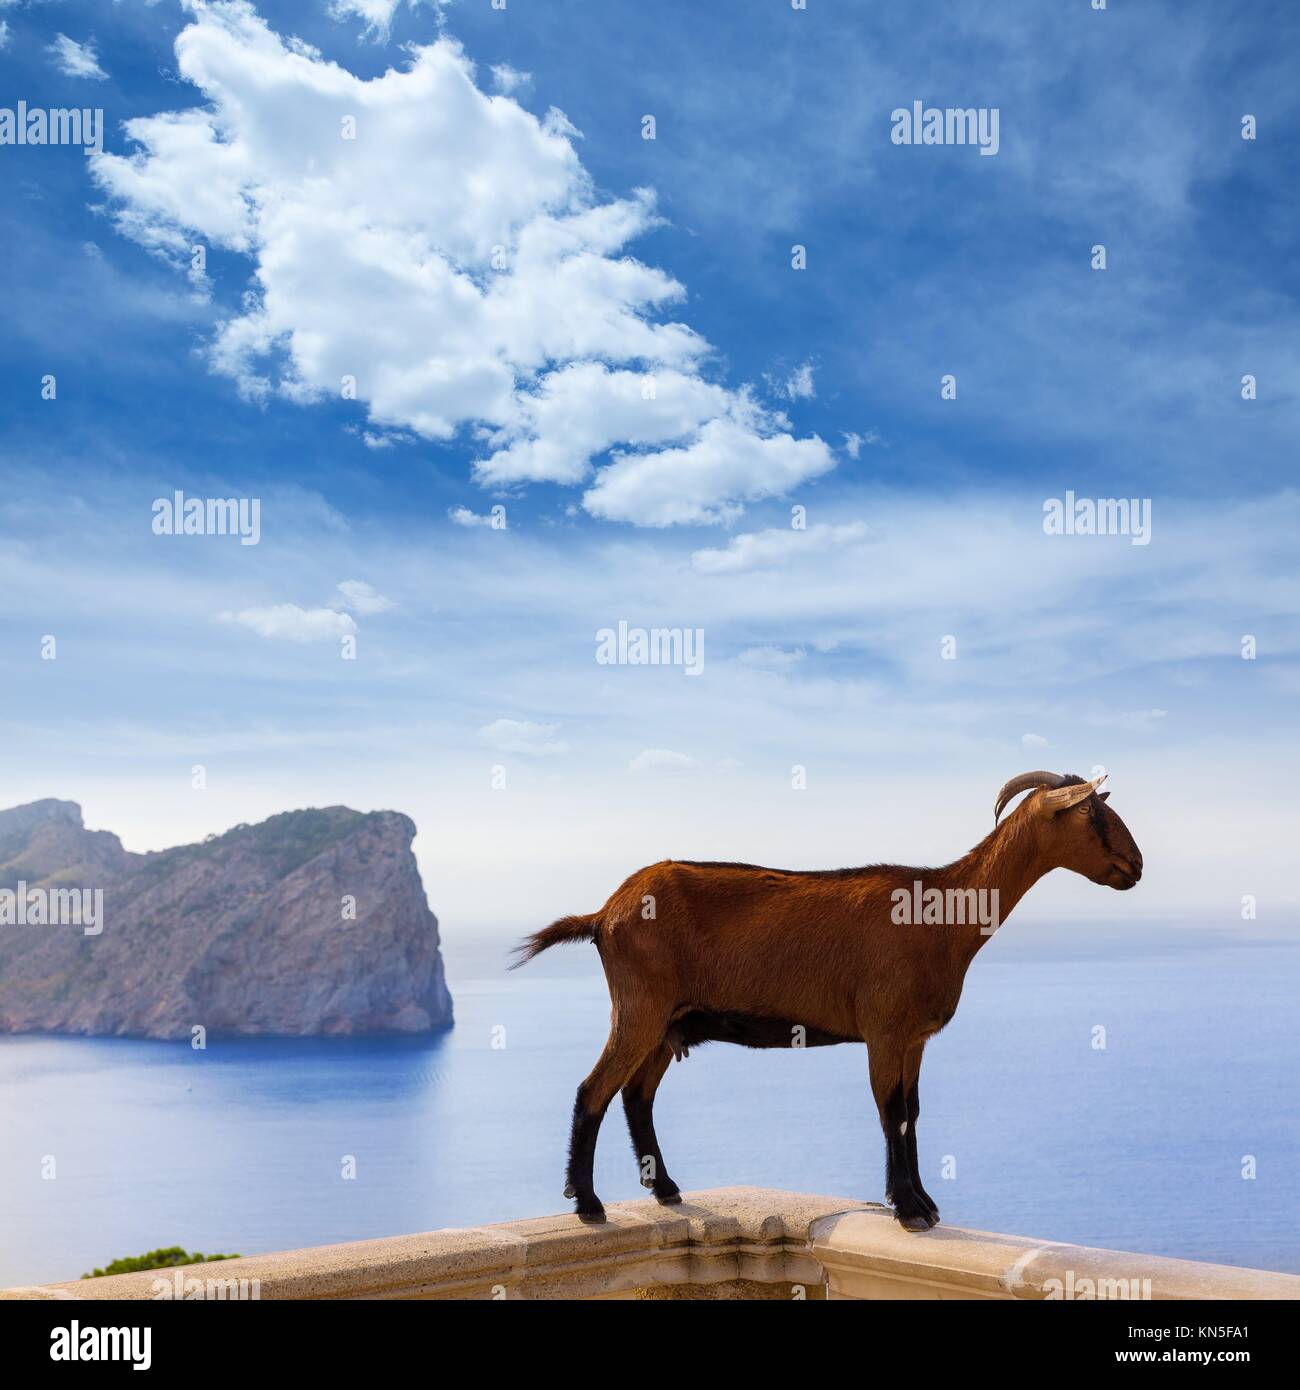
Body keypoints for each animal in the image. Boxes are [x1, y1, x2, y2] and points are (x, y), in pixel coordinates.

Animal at [513, 771, 1142, 1229]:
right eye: (1090, 812)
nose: (1135, 866)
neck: (940, 916)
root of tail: (604, 914)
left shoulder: (913, 1037)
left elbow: (913, 1113)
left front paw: (923, 1202)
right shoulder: (884, 1028)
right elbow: (891, 1111)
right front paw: (909, 1210)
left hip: (671, 1018)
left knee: (636, 1093)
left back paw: (665, 1189)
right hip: (640, 1005)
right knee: (594, 1089)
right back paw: (588, 1204)